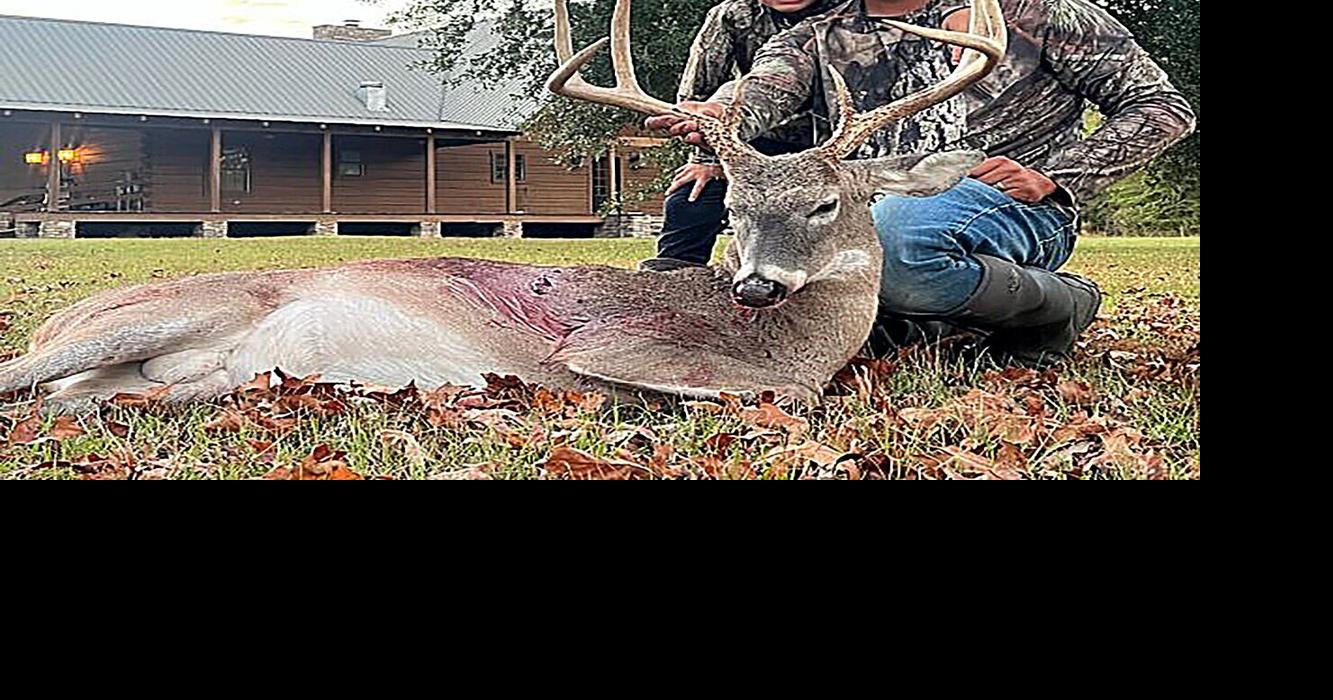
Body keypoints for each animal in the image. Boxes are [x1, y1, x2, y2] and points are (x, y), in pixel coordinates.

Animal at [0, 0, 1006, 415]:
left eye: (827, 202)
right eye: (732, 207)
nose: (756, 285)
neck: (798, 337)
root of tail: (63, 316)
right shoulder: (608, 341)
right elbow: (775, 390)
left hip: (173, 380)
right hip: (170, 310)